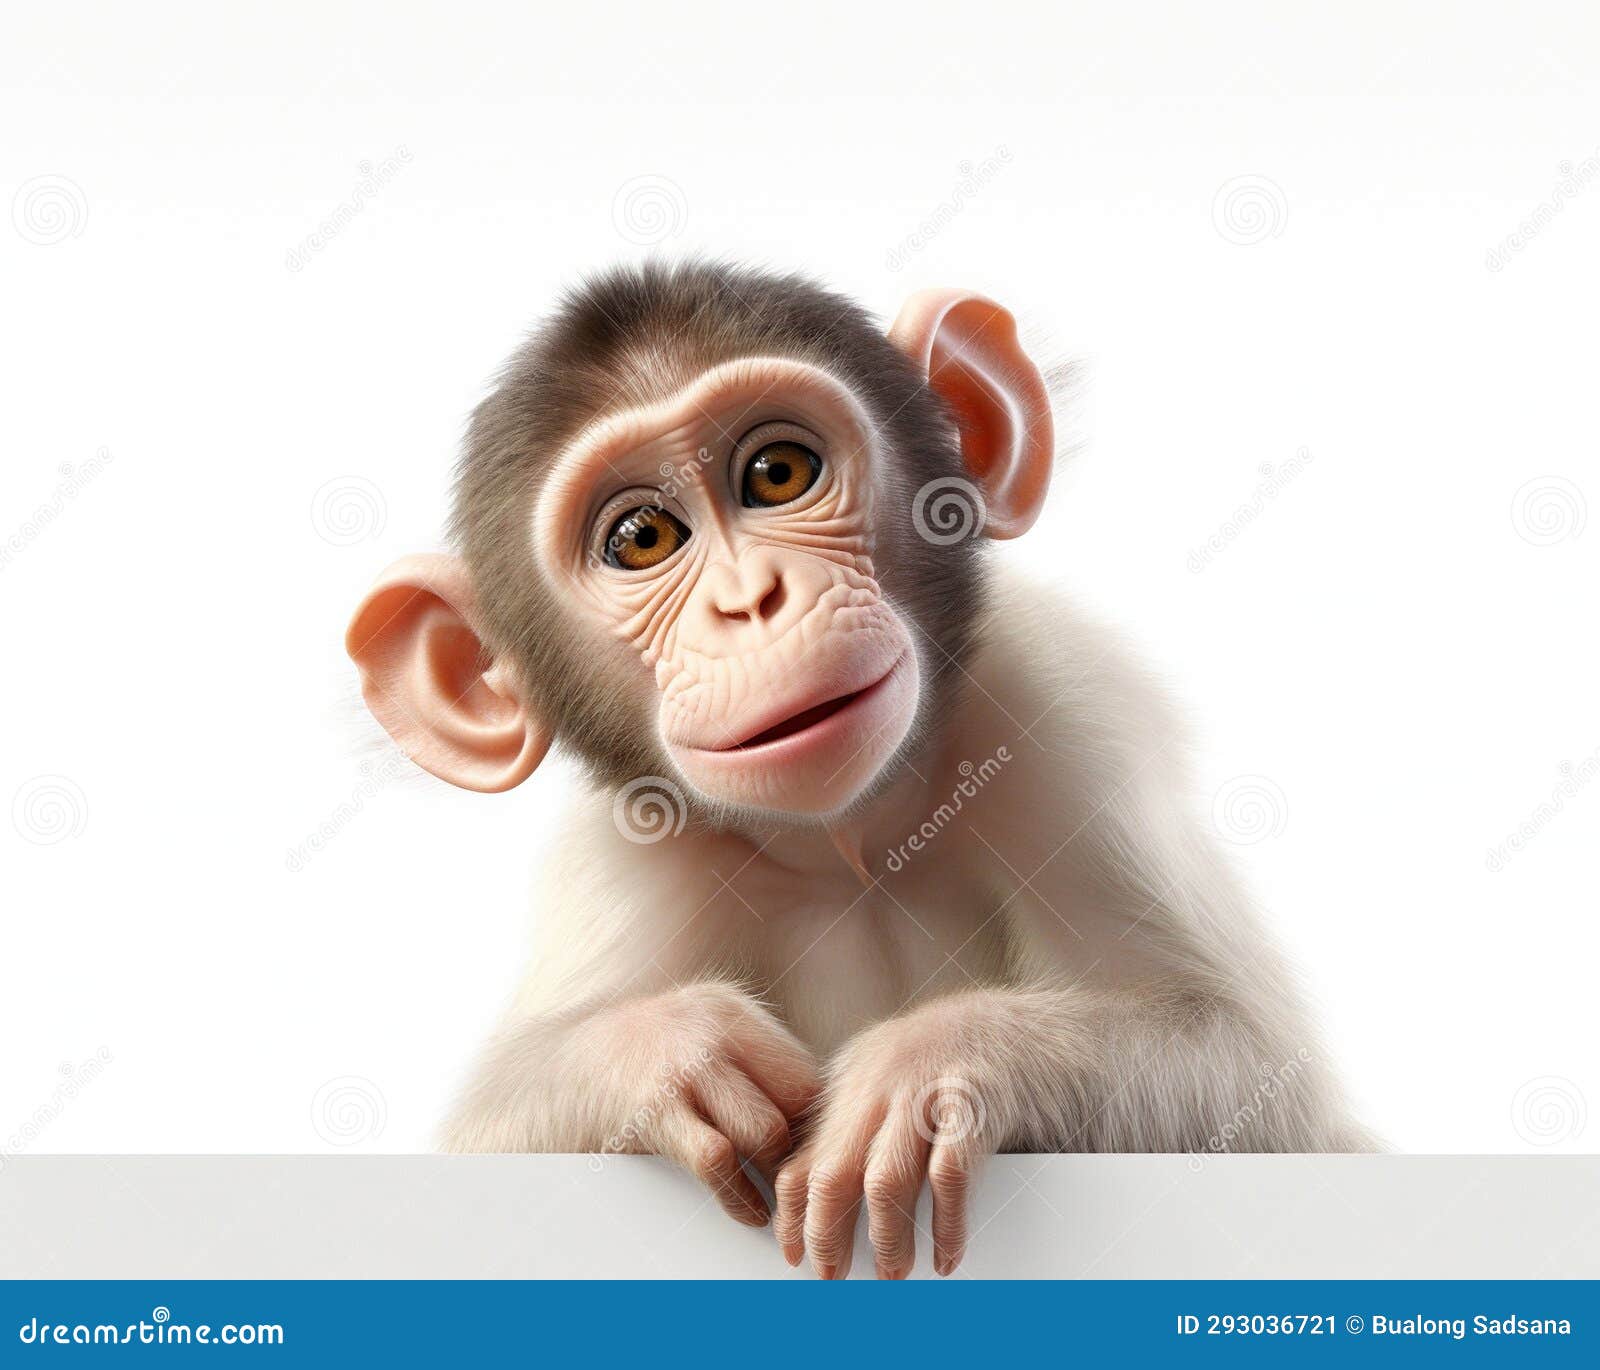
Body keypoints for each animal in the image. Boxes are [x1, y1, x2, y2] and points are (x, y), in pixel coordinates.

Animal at [346, 260, 1371, 1280]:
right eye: (641, 538)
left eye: (778, 474)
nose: (749, 601)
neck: (854, 848)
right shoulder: (630, 863)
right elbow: (487, 1130)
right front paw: (666, 1053)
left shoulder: (1059, 715)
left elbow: (1259, 1077)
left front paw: (933, 1066)